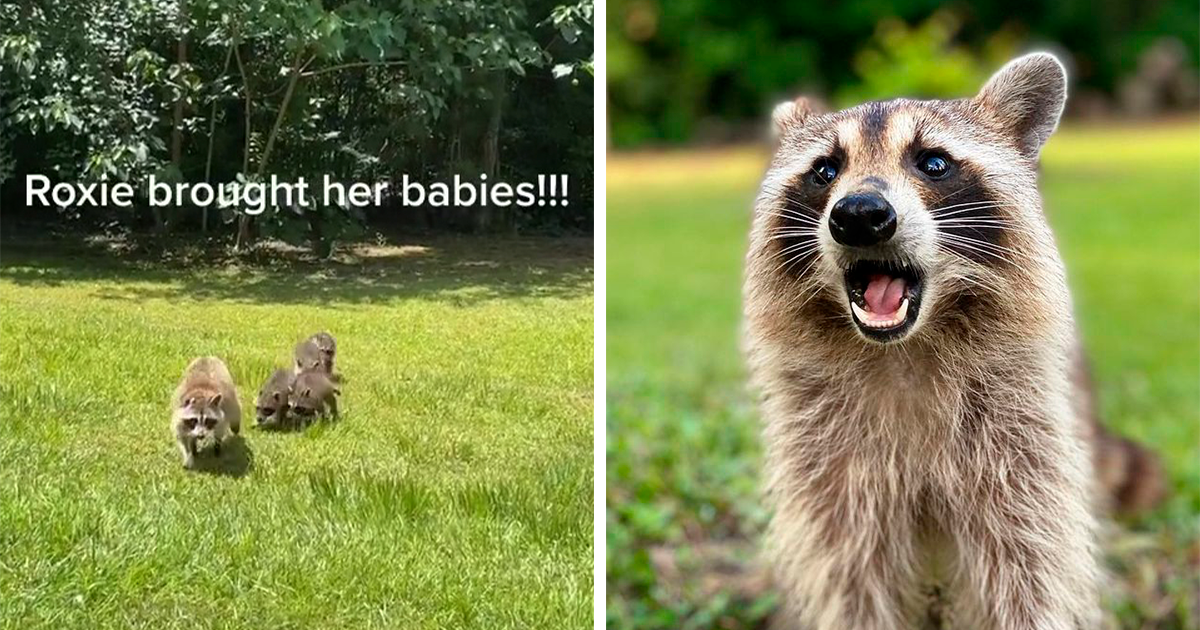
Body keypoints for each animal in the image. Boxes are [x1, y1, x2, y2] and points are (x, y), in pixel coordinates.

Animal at [743, 53, 1163, 629]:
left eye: (933, 163)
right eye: (825, 170)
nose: (860, 214)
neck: (902, 349)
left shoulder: (1021, 442)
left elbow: (1033, 569)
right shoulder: (826, 460)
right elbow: (847, 576)